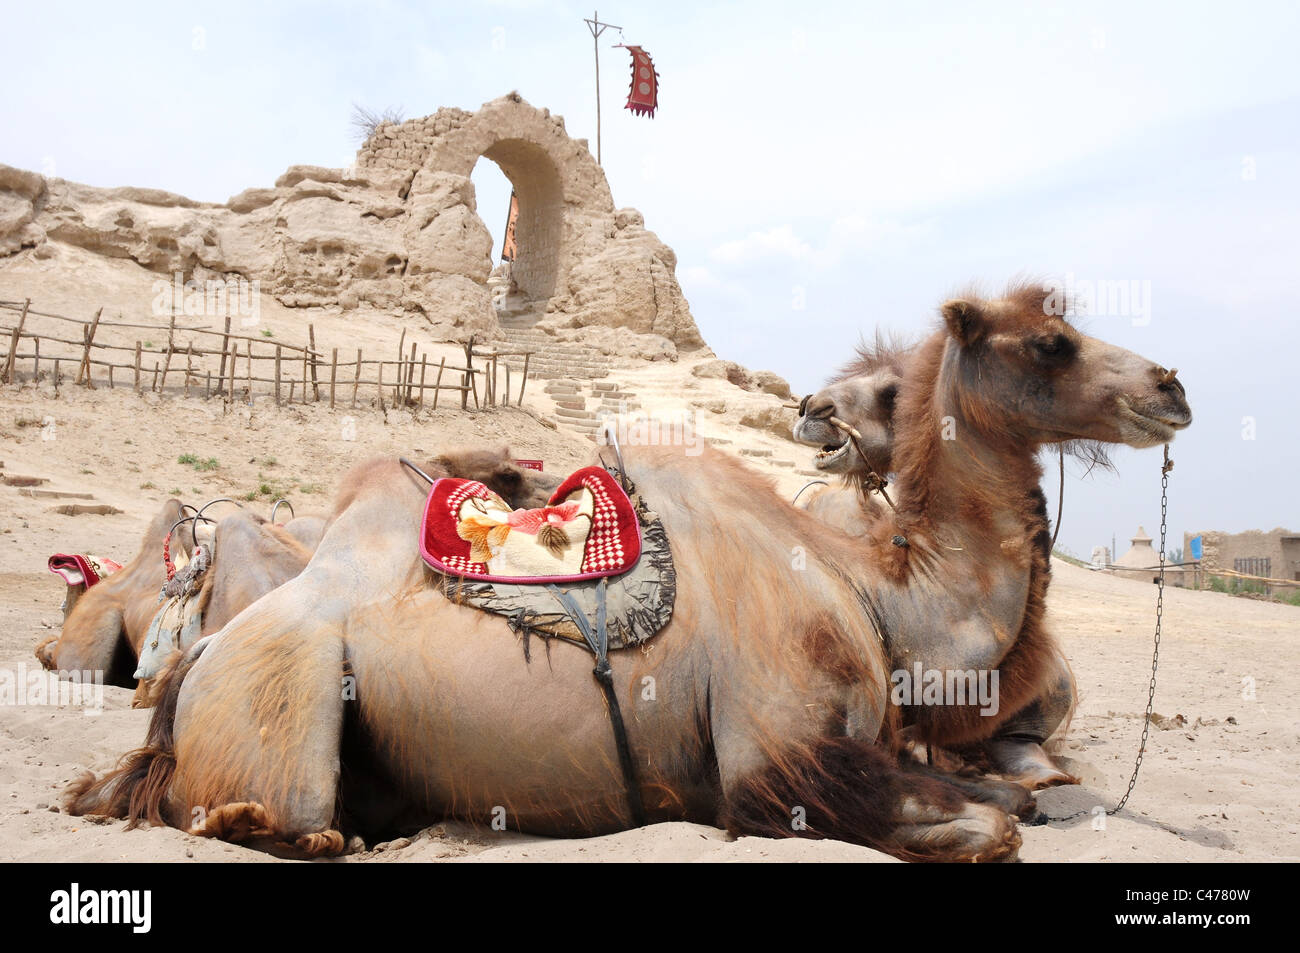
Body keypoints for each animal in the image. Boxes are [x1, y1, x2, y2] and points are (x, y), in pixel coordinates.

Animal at [67, 282, 1190, 862]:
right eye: (1050, 341)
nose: (1172, 383)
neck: (872, 590)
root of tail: (197, 658)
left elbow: (1004, 797)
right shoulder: (774, 761)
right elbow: (990, 822)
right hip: (282, 696)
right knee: (270, 815)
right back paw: (275, 827)